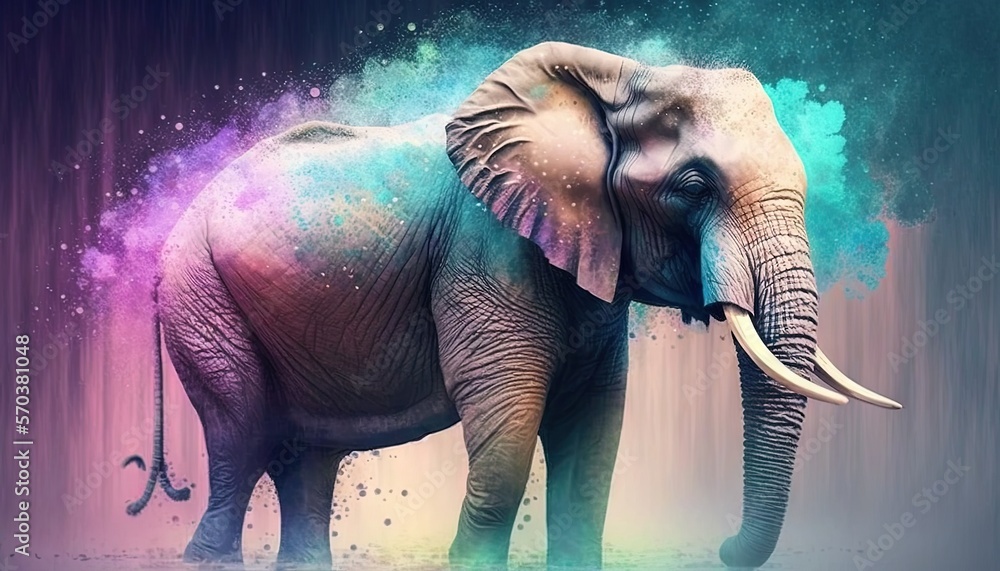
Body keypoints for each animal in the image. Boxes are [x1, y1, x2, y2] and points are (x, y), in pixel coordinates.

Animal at [123, 41, 901, 569]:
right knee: (241, 441)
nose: (723, 546)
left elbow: (592, 442)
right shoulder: (485, 254)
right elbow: (509, 432)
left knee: (303, 460)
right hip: (202, 296)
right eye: (692, 186)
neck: (617, 77)